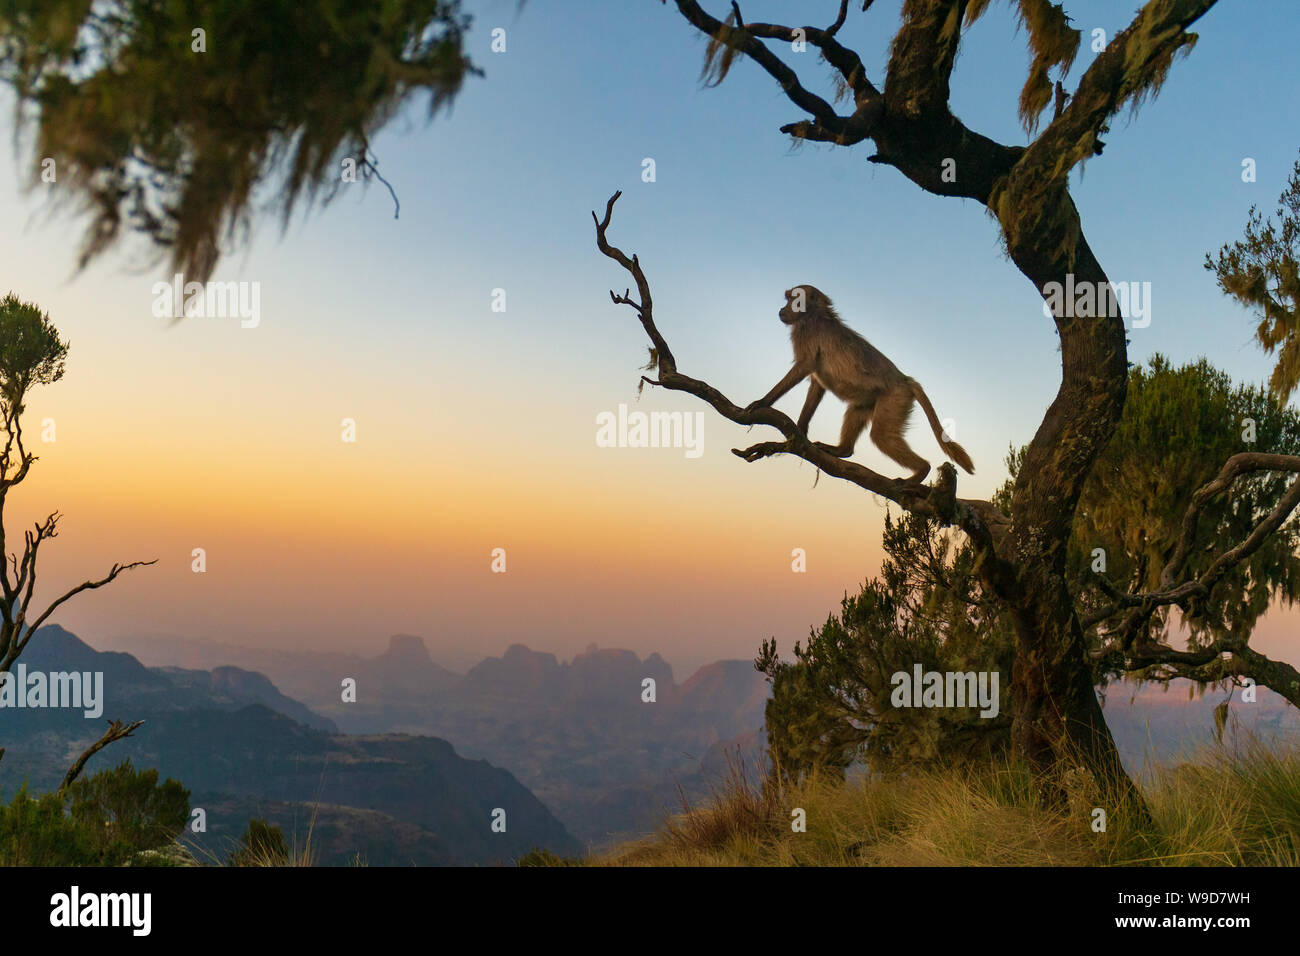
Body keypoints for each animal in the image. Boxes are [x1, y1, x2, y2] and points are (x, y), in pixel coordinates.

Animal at [744, 284, 974, 484]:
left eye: (793, 299)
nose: (782, 309)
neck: (815, 314)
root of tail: (905, 380)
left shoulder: (806, 333)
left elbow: (803, 367)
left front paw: (763, 402)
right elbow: (817, 386)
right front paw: (800, 432)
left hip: (895, 398)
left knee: (882, 436)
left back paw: (920, 472)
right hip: (876, 399)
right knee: (857, 410)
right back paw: (842, 450)